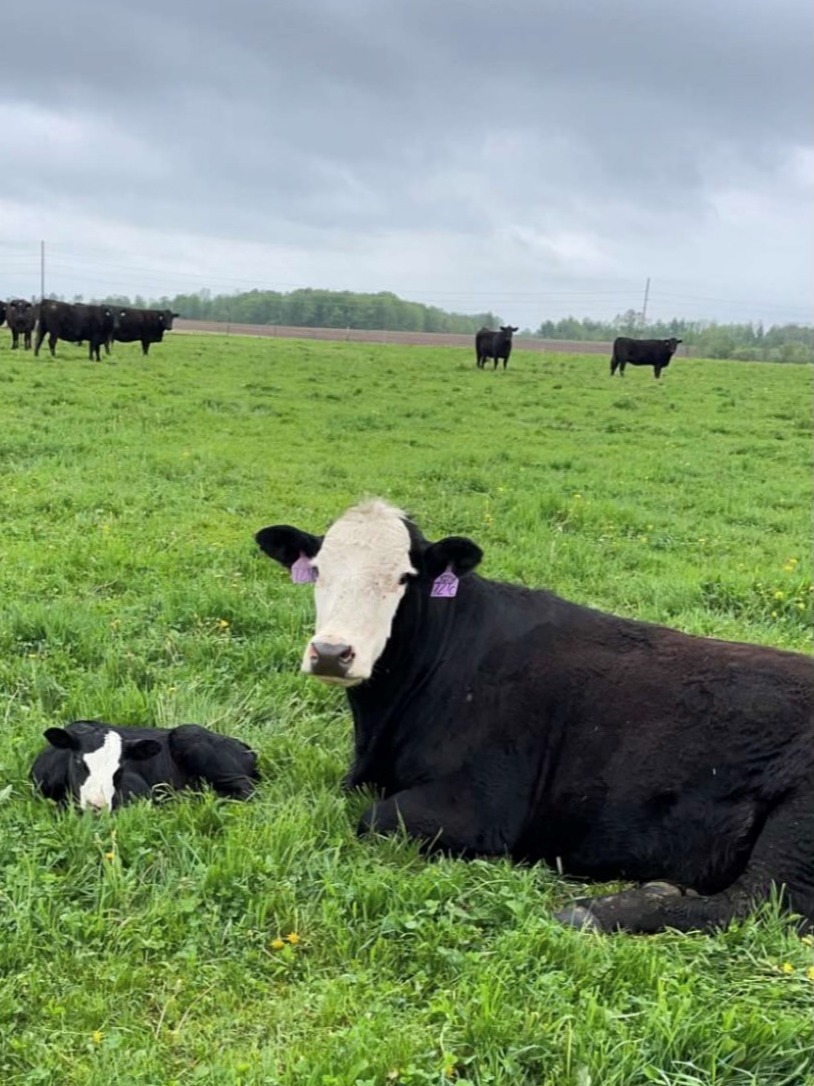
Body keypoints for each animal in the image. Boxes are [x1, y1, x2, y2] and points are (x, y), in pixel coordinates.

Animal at [256, 498, 814, 935]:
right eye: (319, 571)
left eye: (404, 578)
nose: (332, 653)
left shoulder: (479, 807)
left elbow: (370, 817)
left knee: (758, 906)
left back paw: (601, 910)